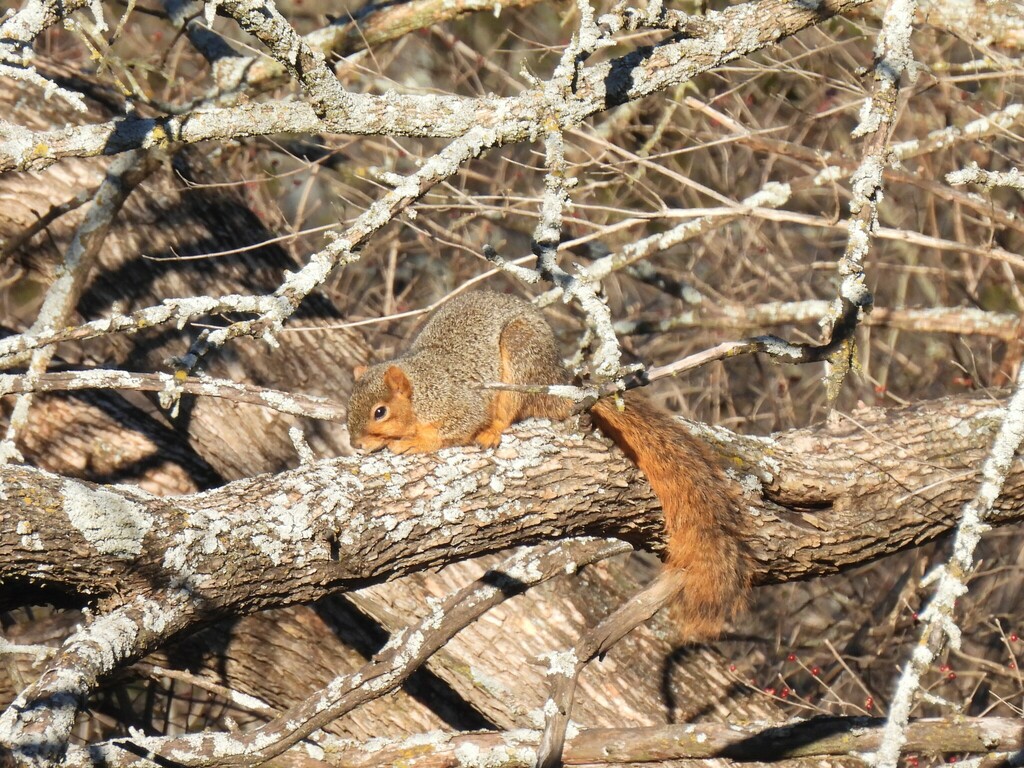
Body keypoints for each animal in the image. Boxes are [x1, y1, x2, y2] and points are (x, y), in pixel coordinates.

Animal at [347, 291, 750, 639]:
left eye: (380, 412)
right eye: (349, 407)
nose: (356, 445)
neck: (422, 389)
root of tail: (556, 381)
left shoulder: (461, 402)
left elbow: (456, 428)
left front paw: (412, 442)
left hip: (520, 356)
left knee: (511, 410)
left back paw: (494, 430)